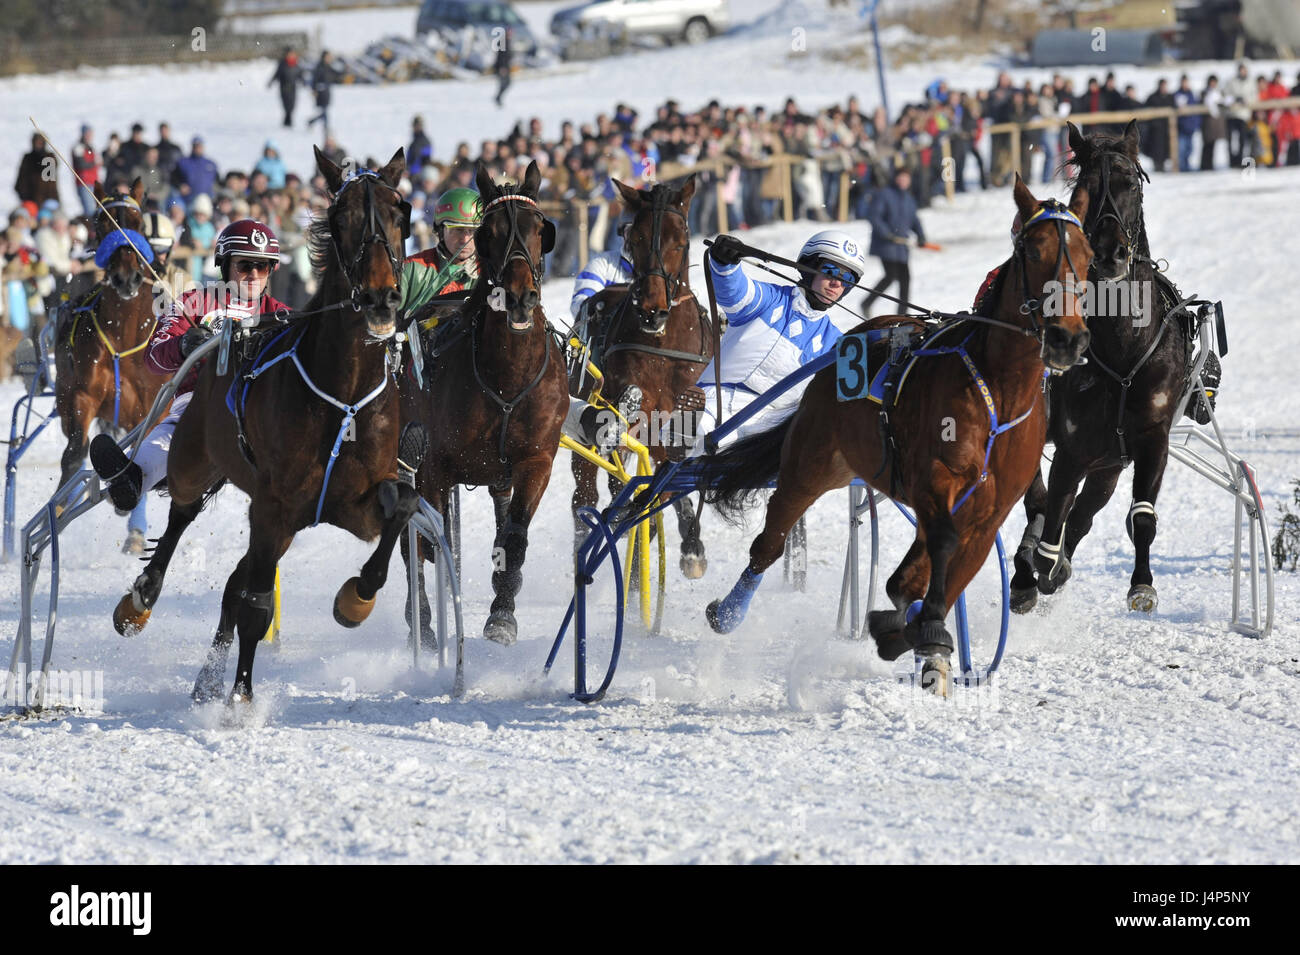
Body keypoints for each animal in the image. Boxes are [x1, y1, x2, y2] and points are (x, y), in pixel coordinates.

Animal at [111, 146, 419, 705]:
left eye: (398, 211)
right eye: (342, 218)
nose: (381, 298)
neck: (342, 395)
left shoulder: (352, 502)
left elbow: (402, 505)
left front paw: (356, 598)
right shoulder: (274, 505)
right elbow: (256, 606)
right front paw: (240, 699)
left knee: (236, 581)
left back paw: (207, 677)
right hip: (195, 457)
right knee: (182, 516)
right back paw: (142, 598)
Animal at [400, 161, 569, 646]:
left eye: (540, 229)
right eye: (487, 232)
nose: (518, 297)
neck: (507, 375)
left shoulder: (535, 461)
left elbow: (513, 536)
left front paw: (502, 614)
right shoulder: (436, 468)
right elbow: (431, 541)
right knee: (411, 540)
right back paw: (421, 621)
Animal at [569, 175, 715, 579]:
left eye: (680, 239)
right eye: (636, 236)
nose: (652, 309)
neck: (664, 342)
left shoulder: (688, 402)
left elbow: (672, 462)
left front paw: (690, 545)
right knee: (584, 492)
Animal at [694, 177, 1093, 694]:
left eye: (1088, 255)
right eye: (1032, 249)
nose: (1068, 338)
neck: (999, 391)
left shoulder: (991, 510)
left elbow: (935, 580)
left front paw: (915, 637)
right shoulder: (933, 480)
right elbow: (938, 550)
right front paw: (926, 631)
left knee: (904, 576)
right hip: (809, 465)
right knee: (769, 543)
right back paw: (727, 612)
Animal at [1010, 121, 1196, 615]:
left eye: (1131, 184)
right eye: (1086, 189)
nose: (1111, 254)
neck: (1122, 350)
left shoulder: (1148, 438)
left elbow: (1140, 517)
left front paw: (1142, 585)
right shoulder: (1072, 448)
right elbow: (1050, 524)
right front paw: (1039, 569)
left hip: (1108, 463)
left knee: (1081, 515)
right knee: (1042, 507)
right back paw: (1026, 573)